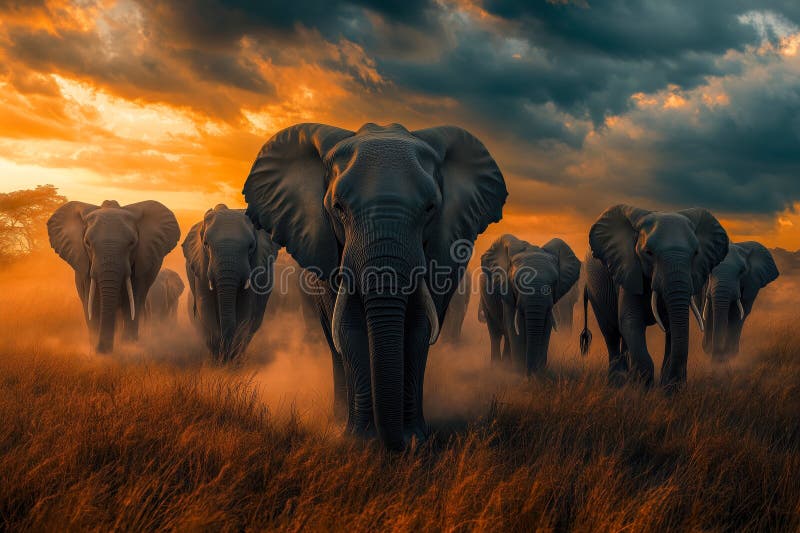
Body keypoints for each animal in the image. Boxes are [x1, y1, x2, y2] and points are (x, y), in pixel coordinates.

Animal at [47, 200, 180, 353]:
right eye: (87, 243)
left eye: (132, 243)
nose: (102, 350)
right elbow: (93, 305)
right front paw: (98, 352)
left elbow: (131, 304)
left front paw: (128, 348)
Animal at [183, 204, 279, 362]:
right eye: (206, 245)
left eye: (251, 247)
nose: (225, 354)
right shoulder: (201, 265)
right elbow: (205, 305)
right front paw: (218, 361)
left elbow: (246, 308)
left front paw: (230, 361)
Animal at [242, 122, 507, 450]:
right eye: (338, 208)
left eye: (430, 208)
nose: (398, 443)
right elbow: (350, 327)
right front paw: (360, 441)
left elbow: (417, 329)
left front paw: (414, 438)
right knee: (333, 341)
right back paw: (338, 421)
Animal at [478, 235, 581, 374]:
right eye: (516, 282)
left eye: (554, 282)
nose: (530, 372)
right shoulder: (507, 289)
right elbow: (515, 327)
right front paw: (519, 372)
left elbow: (546, 327)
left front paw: (539, 372)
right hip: (485, 298)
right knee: (496, 334)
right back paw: (498, 367)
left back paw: (506, 365)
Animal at [580, 205, 729, 389]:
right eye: (648, 253)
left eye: (695, 253)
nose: (675, 385)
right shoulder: (629, 269)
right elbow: (631, 321)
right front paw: (643, 388)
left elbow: (674, 326)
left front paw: (668, 388)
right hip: (595, 291)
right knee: (611, 332)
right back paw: (617, 383)